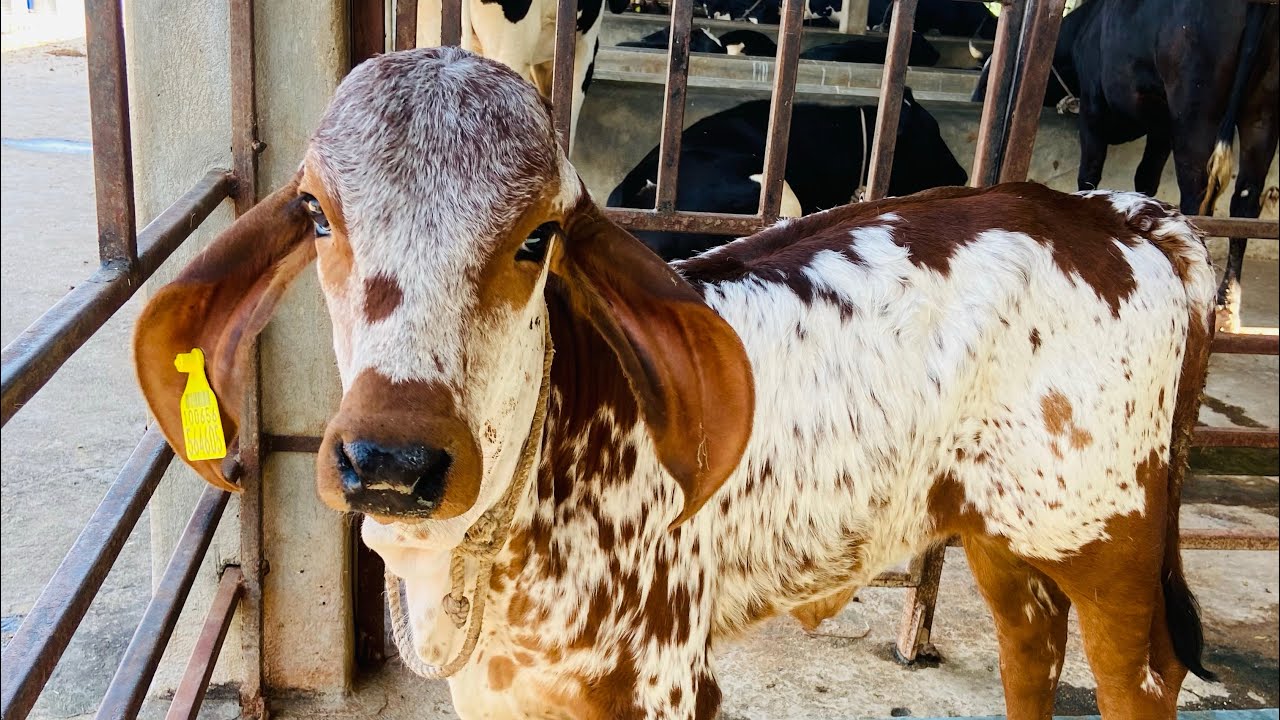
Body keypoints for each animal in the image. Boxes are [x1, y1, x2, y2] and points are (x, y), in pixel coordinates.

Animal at [972, 0, 1279, 331]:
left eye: (987, 79)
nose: (977, 100)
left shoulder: (1094, 111)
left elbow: (1090, 172)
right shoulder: (1160, 128)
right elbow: (1146, 177)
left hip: (1195, 112)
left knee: (1196, 193)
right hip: (1261, 114)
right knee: (1245, 200)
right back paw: (1227, 305)